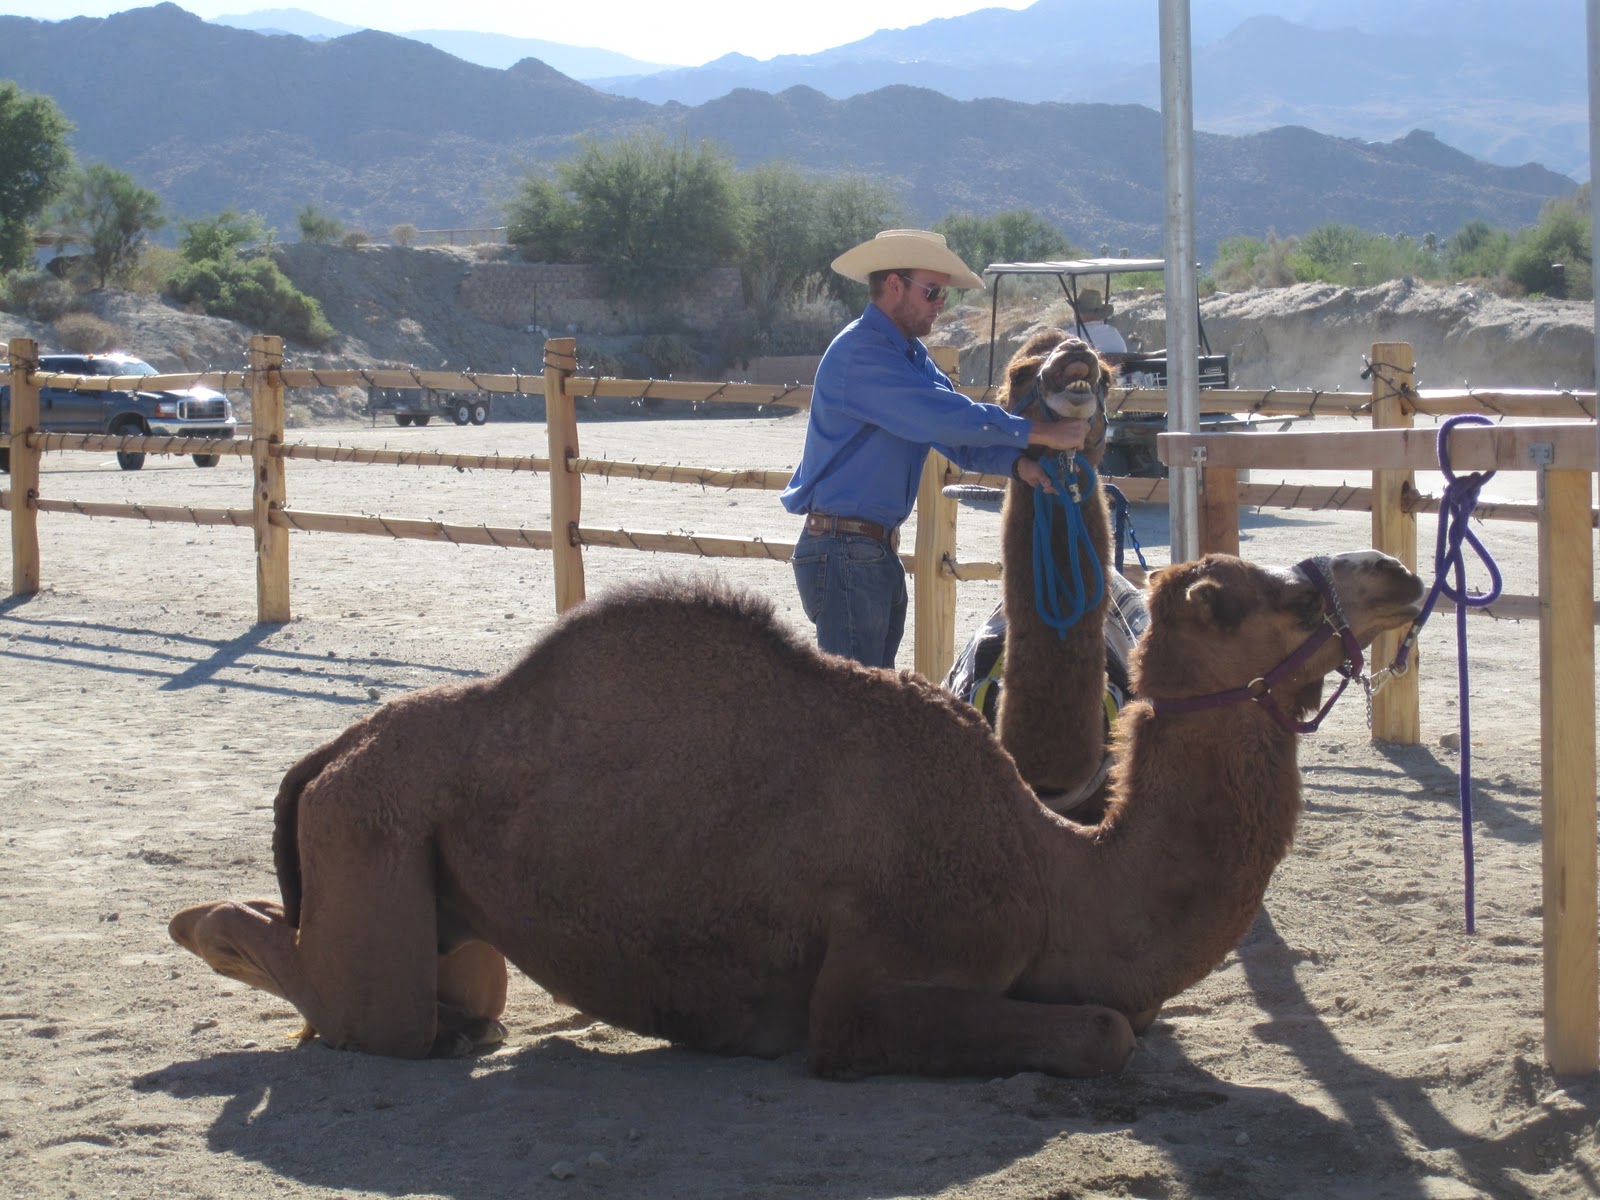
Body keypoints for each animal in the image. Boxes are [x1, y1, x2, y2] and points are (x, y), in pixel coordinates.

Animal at [169, 552, 1422, 1079]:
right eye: (1263, 598)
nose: (1398, 574)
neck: (1054, 870)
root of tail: (336, 747)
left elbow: (1130, 1017)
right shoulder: (872, 993)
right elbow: (1105, 1033)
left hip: (414, 863)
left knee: (455, 1008)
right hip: (370, 829)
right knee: (366, 1015)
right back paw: (201, 932)